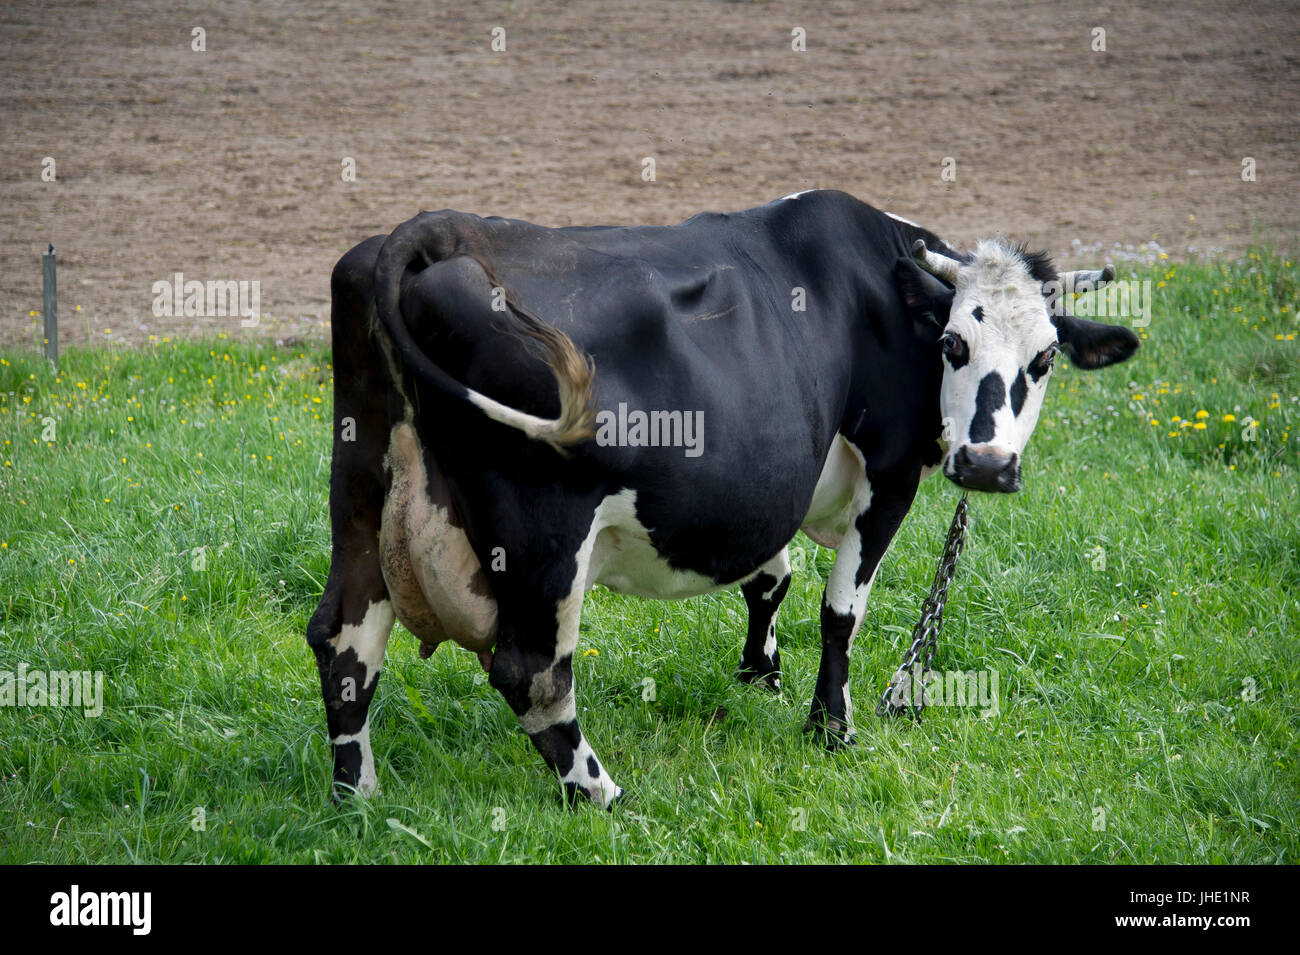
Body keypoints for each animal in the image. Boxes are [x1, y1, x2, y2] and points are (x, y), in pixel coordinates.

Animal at [306, 189, 1138, 808]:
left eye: (1045, 357)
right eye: (954, 345)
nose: (989, 465)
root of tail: (443, 230)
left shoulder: (771, 481)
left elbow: (771, 575)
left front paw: (759, 675)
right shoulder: (890, 472)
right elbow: (841, 610)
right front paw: (830, 727)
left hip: (362, 487)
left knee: (343, 636)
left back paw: (358, 795)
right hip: (544, 531)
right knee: (531, 670)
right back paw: (602, 794)